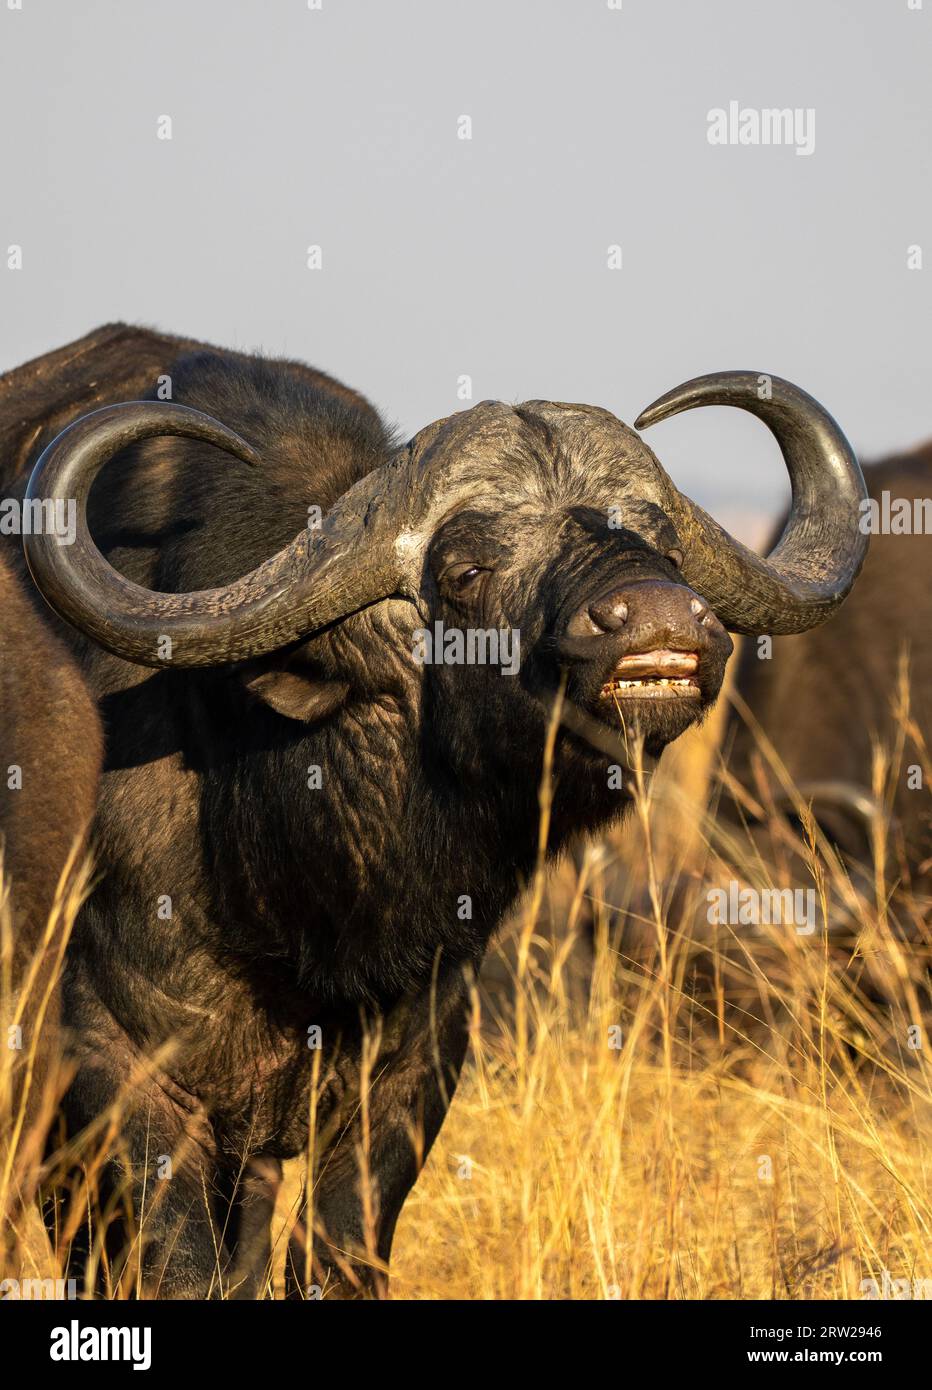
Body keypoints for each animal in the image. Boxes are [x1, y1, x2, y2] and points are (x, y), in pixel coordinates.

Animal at [3, 324, 866, 1298]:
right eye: (467, 568)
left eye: (664, 550)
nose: (660, 617)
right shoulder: (107, 1078)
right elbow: (176, 1269)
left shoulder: (413, 1073)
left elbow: (337, 1256)